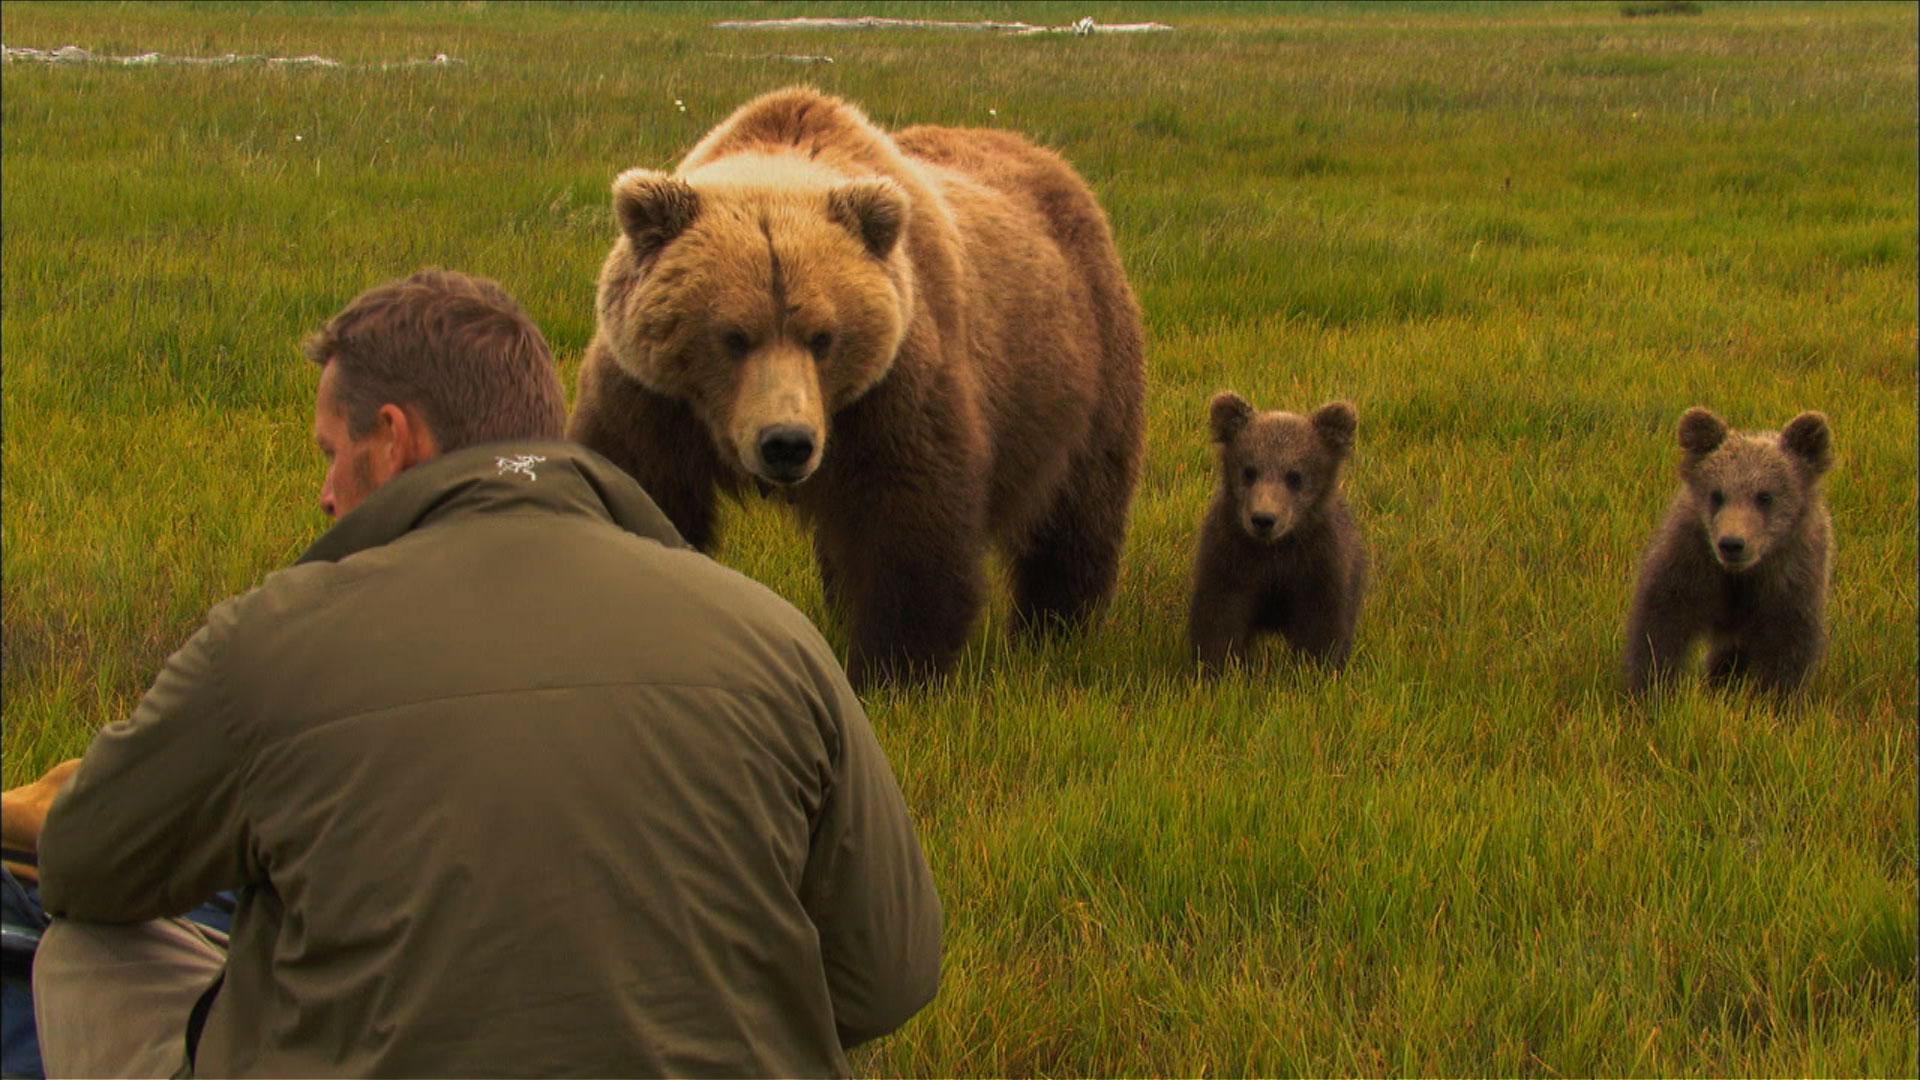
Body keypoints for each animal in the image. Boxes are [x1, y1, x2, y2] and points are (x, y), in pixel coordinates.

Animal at [567, 87, 1146, 687]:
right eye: (733, 336)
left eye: (823, 336)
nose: (786, 443)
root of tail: (1045, 157)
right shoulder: (653, 401)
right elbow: (642, 488)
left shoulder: (892, 390)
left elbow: (907, 523)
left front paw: (893, 669)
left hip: (1082, 365)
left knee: (1078, 512)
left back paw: (1059, 628)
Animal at [1188, 392, 1367, 672]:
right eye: (1249, 471)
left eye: (1295, 476)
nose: (1263, 519)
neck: (1276, 550)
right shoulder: (1231, 560)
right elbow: (1219, 620)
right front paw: (1218, 668)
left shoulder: (1317, 565)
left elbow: (1322, 628)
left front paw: (1315, 669)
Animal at [1621, 406, 1834, 696]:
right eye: (1717, 494)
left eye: (1765, 496)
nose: (1732, 543)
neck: (1741, 575)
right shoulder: (1690, 565)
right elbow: (1660, 628)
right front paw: (1654, 688)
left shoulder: (1788, 583)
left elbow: (1788, 650)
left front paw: (1775, 699)